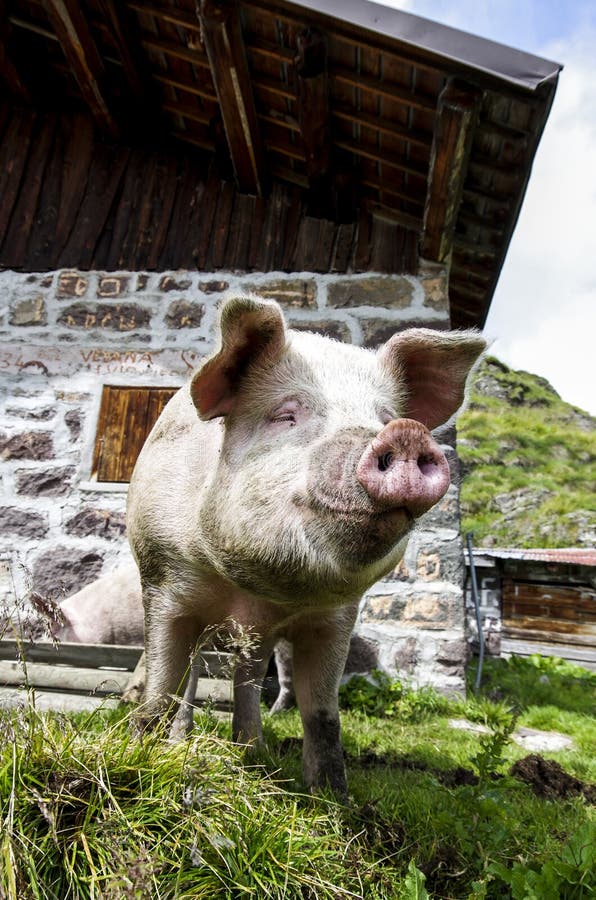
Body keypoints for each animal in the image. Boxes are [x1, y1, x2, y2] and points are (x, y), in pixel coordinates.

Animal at [127, 295, 485, 794]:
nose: (406, 434)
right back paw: (188, 740)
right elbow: (162, 691)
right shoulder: (164, 582)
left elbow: (323, 714)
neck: (261, 591)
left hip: (259, 642)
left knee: (249, 676)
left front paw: (332, 799)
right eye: (285, 415)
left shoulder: (335, 618)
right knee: (195, 677)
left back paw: (252, 755)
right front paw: (144, 762)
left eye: (386, 418)